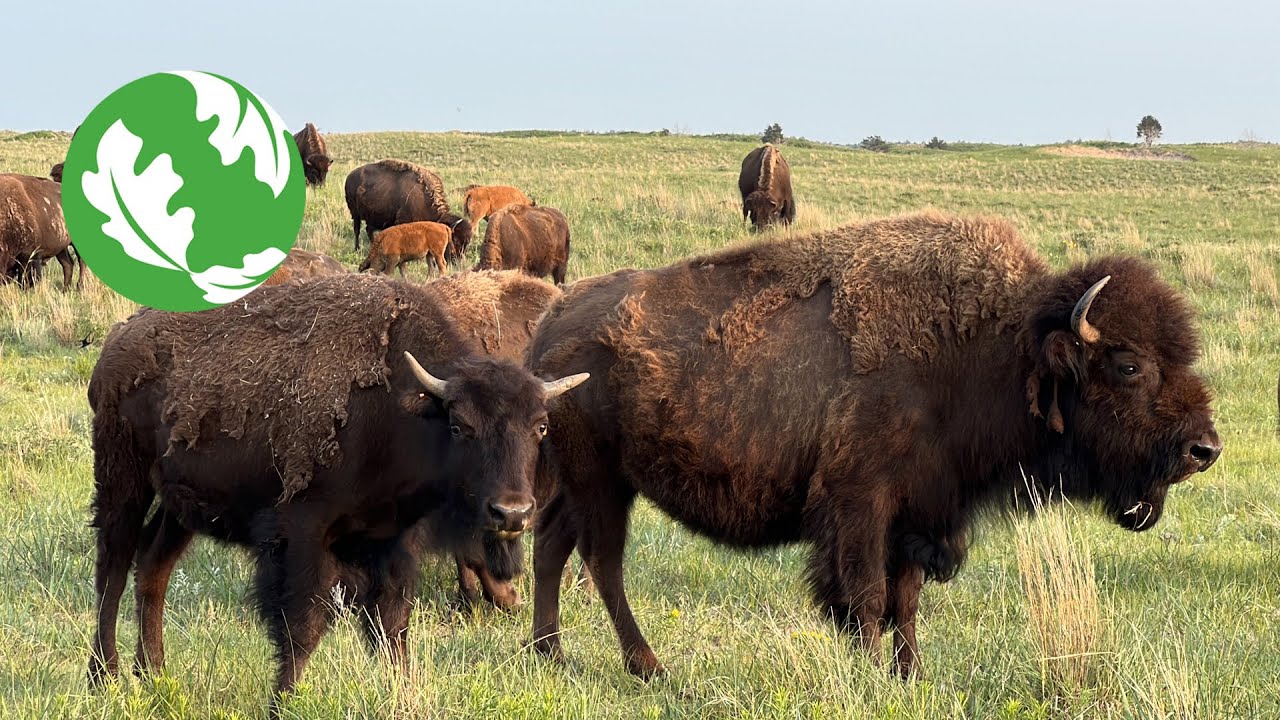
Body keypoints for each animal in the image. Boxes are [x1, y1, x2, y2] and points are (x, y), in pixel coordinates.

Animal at [87, 274, 588, 709]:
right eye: (460, 426)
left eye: (541, 426)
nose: (512, 513)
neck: (403, 409)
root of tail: (117, 340)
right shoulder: (304, 534)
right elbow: (303, 628)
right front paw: (282, 702)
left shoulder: (392, 543)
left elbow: (392, 629)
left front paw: (402, 698)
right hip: (122, 481)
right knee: (113, 569)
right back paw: (104, 675)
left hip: (180, 507)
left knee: (153, 568)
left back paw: (153, 673)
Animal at [344, 159, 473, 257]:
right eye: (455, 240)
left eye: (466, 243)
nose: (456, 260)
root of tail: (350, 176)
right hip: (355, 214)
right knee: (357, 230)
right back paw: (357, 249)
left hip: (373, 217)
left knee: (369, 230)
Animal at [525, 211, 1220, 678]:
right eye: (1129, 365)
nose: (1204, 449)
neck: (993, 348)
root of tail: (551, 322)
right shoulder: (861, 502)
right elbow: (866, 596)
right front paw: (870, 676)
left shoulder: (919, 509)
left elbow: (904, 600)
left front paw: (909, 676)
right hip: (602, 480)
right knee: (603, 562)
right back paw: (648, 667)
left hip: (580, 481)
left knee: (552, 544)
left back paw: (551, 654)